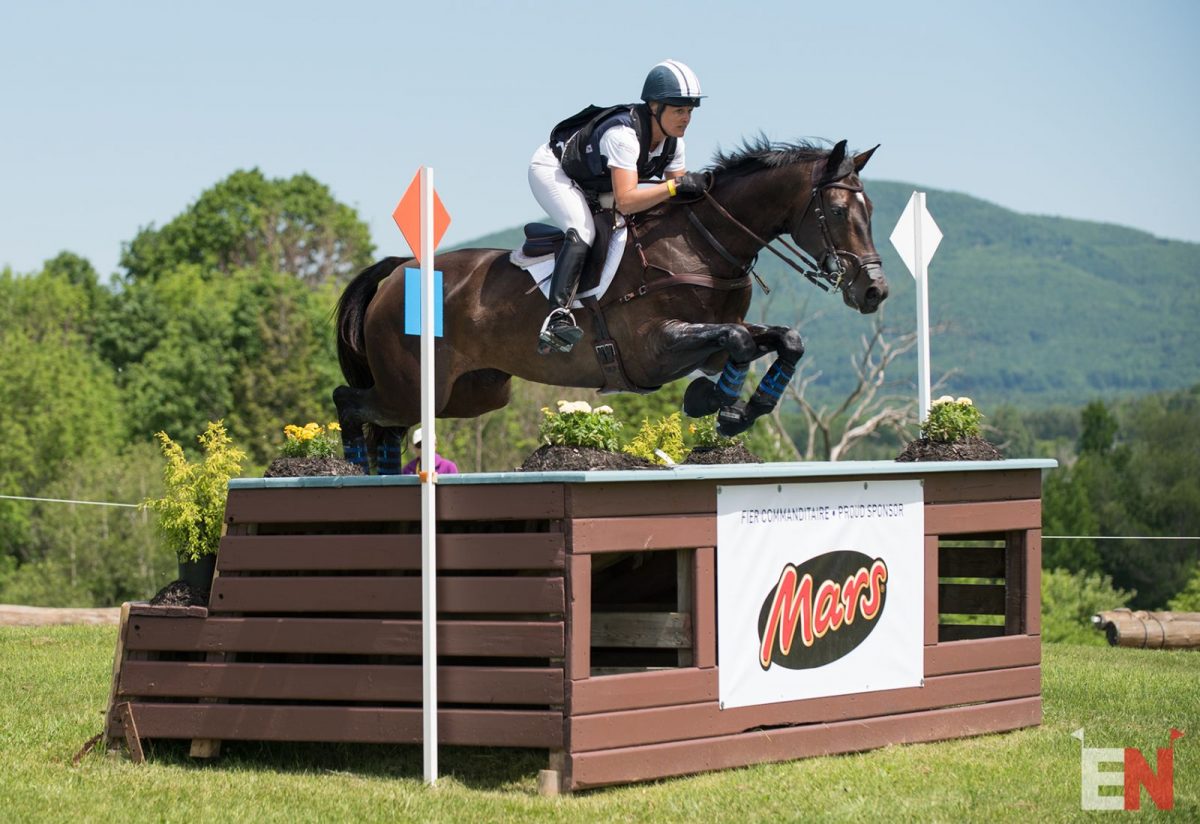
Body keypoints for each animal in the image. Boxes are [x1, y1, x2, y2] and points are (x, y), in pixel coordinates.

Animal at [333, 138, 889, 472]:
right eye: (837, 212)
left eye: (871, 208)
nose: (874, 291)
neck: (702, 243)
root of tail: (398, 271)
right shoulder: (655, 348)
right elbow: (737, 342)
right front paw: (715, 403)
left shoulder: (715, 337)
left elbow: (782, 340)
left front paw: (739, 409)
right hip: (417, 387)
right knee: (350, 399)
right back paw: (351, 461)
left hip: (472, 393)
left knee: (386, 421)